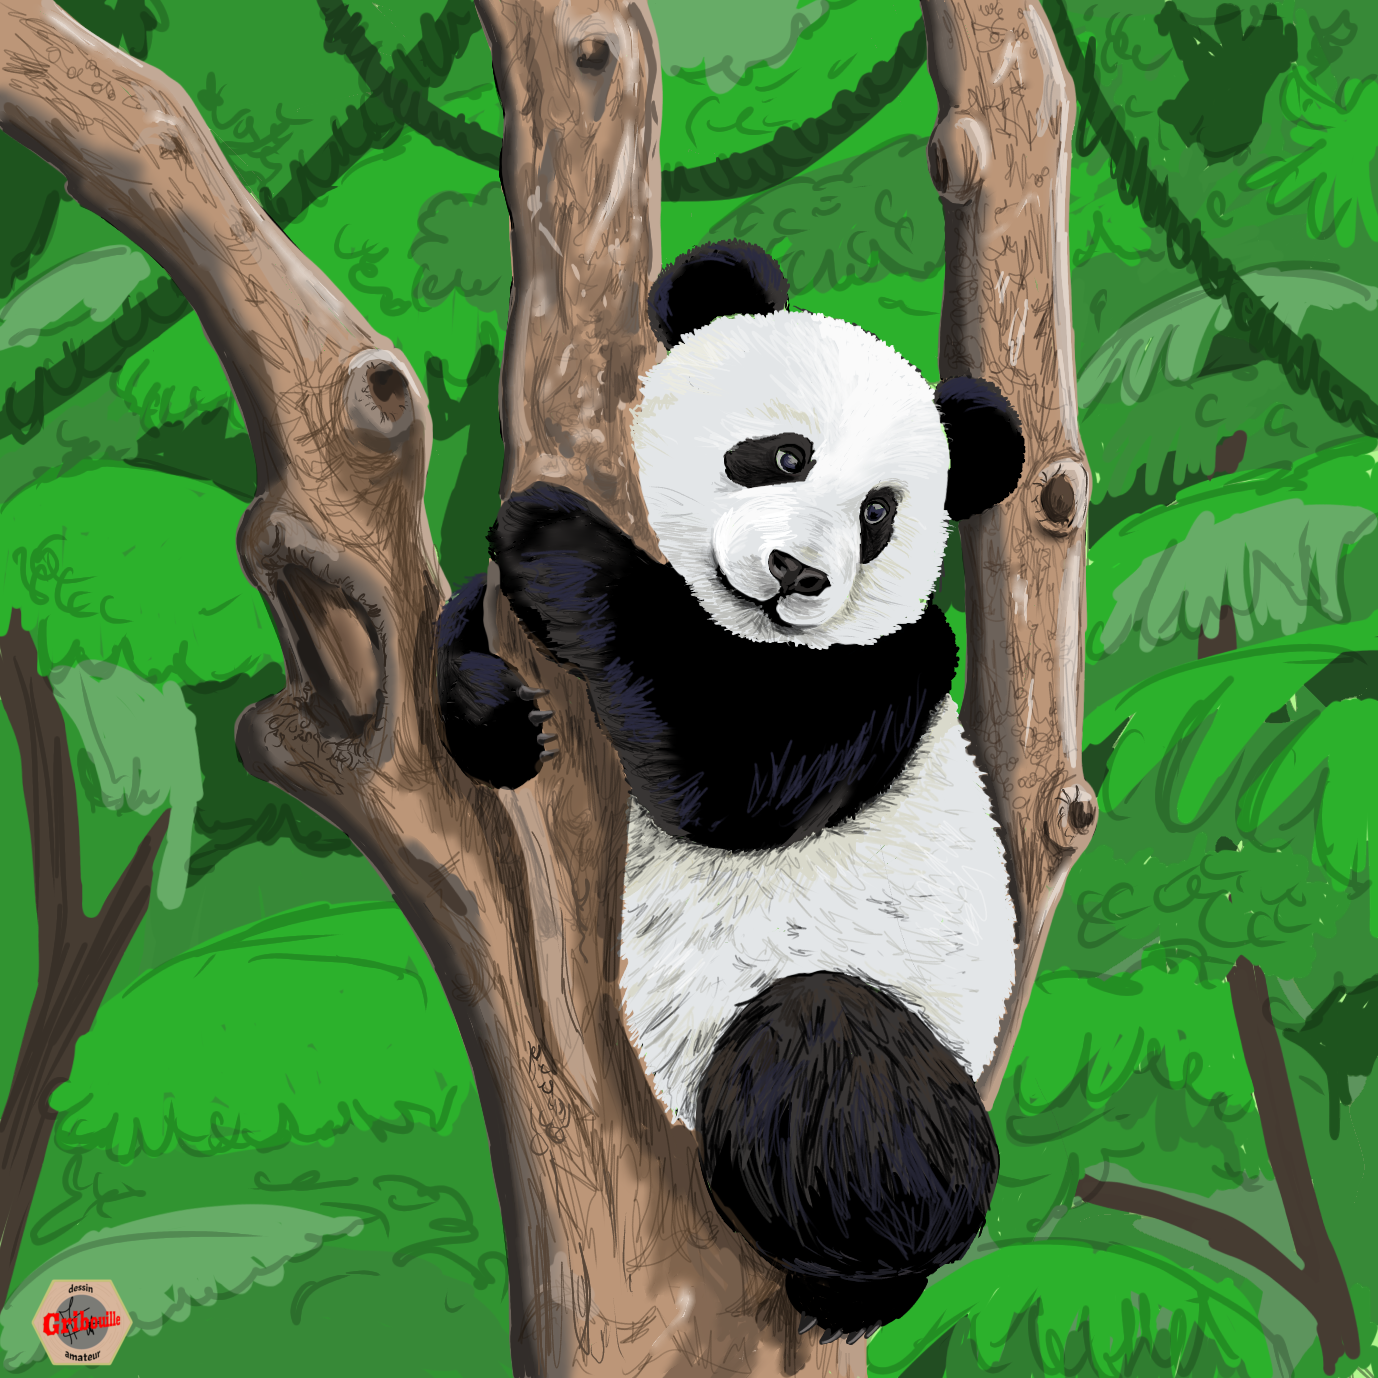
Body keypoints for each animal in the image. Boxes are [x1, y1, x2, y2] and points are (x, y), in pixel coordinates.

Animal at [437, 241, 1024, 1346]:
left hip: (904, 1048)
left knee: (833, 1055)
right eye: (784, 456)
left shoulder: (882, 678)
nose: (796, 573)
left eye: (878, 514)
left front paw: (551, 538)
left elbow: (731, 774)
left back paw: (856, 1279)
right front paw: (499, 714)